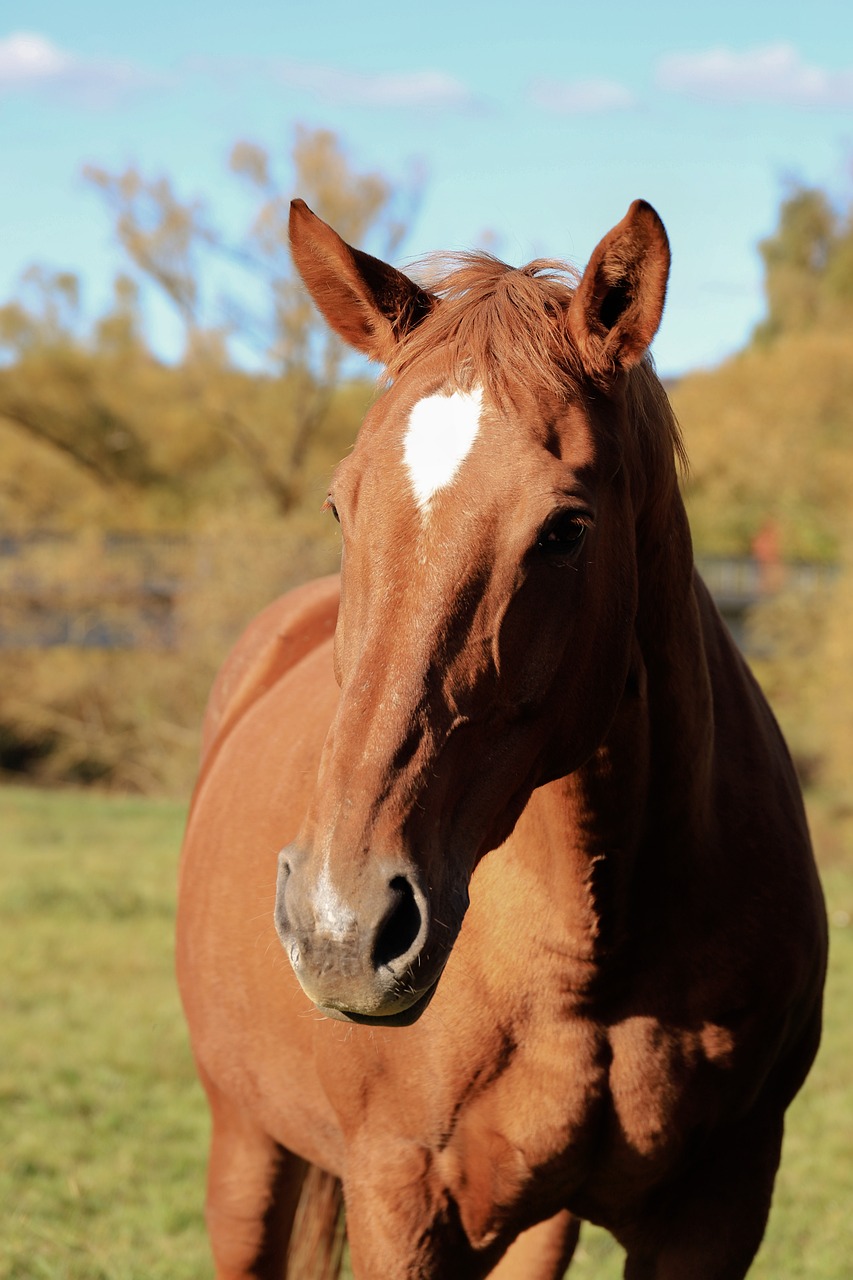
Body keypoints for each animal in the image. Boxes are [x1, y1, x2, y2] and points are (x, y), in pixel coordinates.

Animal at [176, 198, 827, 1280]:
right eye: (341, 504)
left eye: (564, 529)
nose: (342, 924)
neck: (592, 955)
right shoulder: (399, 1199)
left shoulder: (721, 1200)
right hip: (247, 1145)